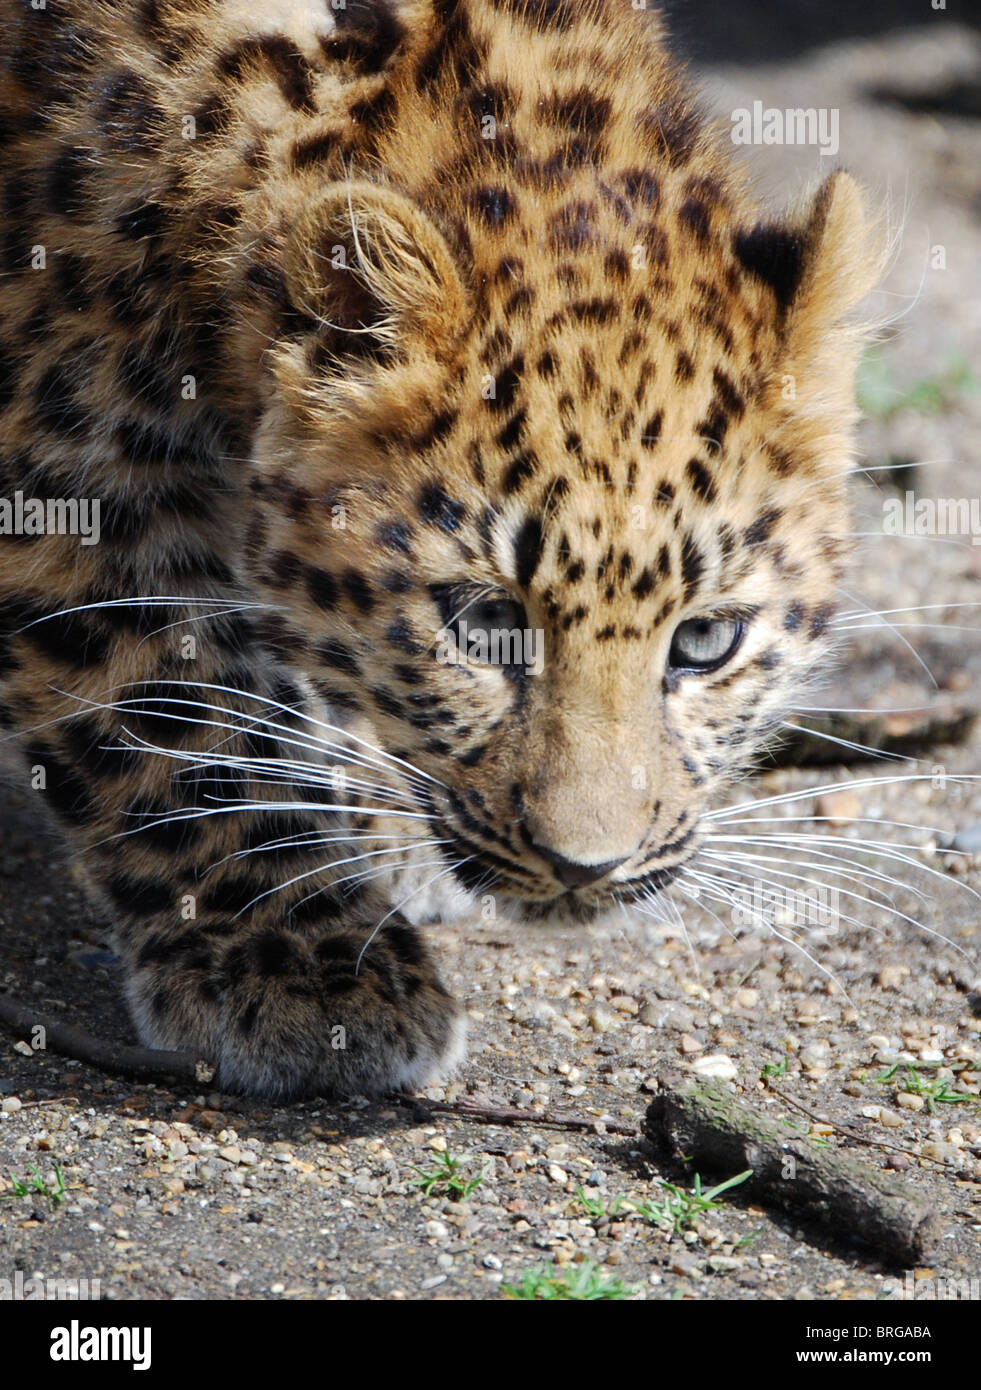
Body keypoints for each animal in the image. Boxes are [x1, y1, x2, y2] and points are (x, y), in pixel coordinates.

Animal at [0, 0, 882, 1099]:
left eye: (704, 641)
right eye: (487, 621)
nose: (585, 866)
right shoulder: (69, 470)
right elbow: (170, 714)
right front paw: (299, 956)